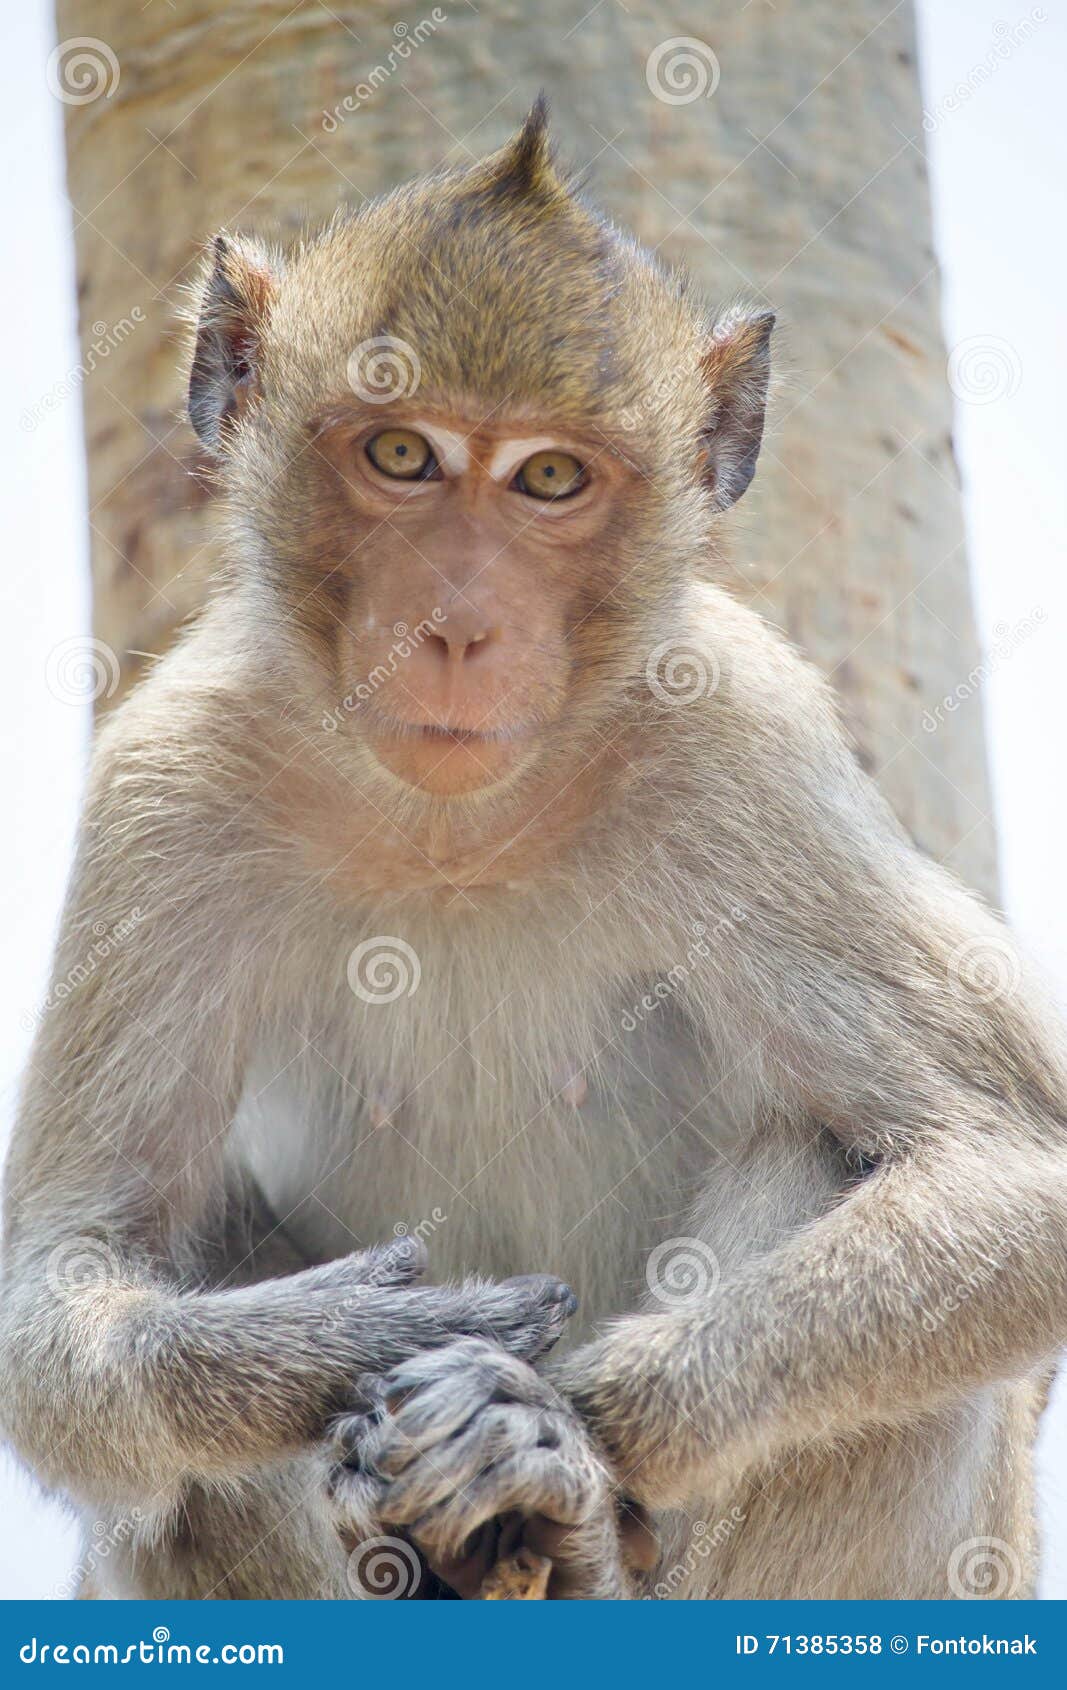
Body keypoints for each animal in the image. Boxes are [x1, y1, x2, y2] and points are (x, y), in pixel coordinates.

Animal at [3, 97, 1065, 1601]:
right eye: (400, 455)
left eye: (548, 478)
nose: (457, 624)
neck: (453, 822)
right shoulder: (165, 781)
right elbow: (67, 1274)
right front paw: (315, 1347)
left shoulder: (740, 739)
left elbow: (1015, 1172)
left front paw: (549, 1427)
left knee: (843, 1156)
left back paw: (566, 1530)